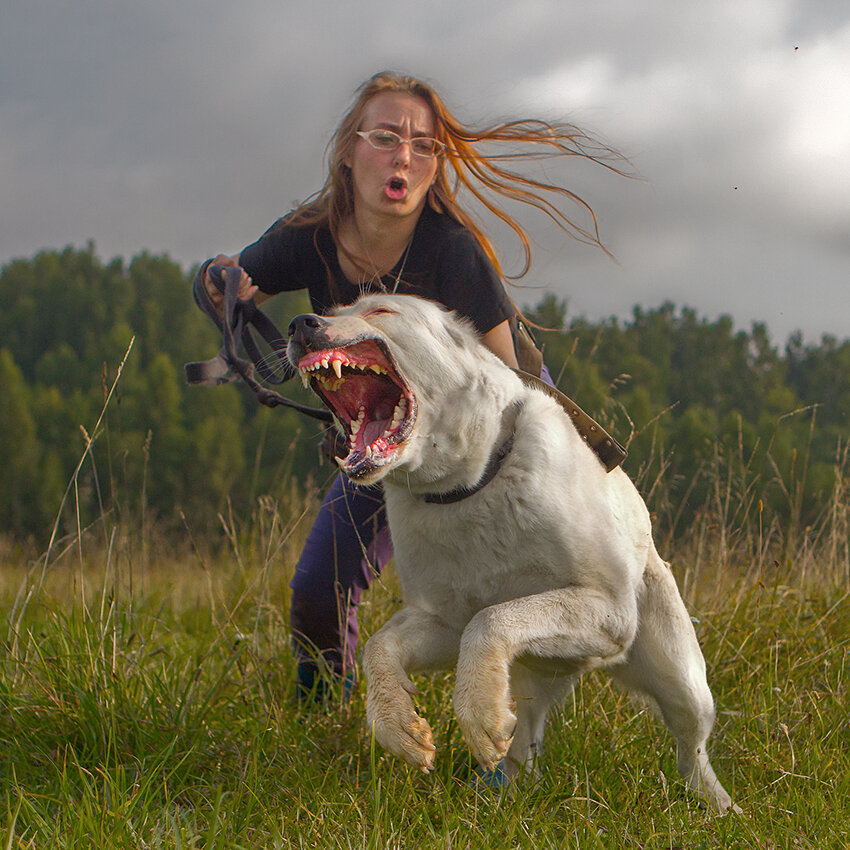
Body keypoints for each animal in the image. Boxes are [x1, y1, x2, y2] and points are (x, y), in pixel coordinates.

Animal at [286, 292, 736, 808]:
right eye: (331, 309)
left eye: (380, 311)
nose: (300, 324)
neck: (468, 486)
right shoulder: (444, 622)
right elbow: (381, 646)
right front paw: (400, 726)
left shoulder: (608, 610)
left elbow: (491, 618)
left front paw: (477, 715)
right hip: (534, 680)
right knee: (523, 749)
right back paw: (505, 799)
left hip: (679, 676)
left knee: (691, 746)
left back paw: (719, 807)